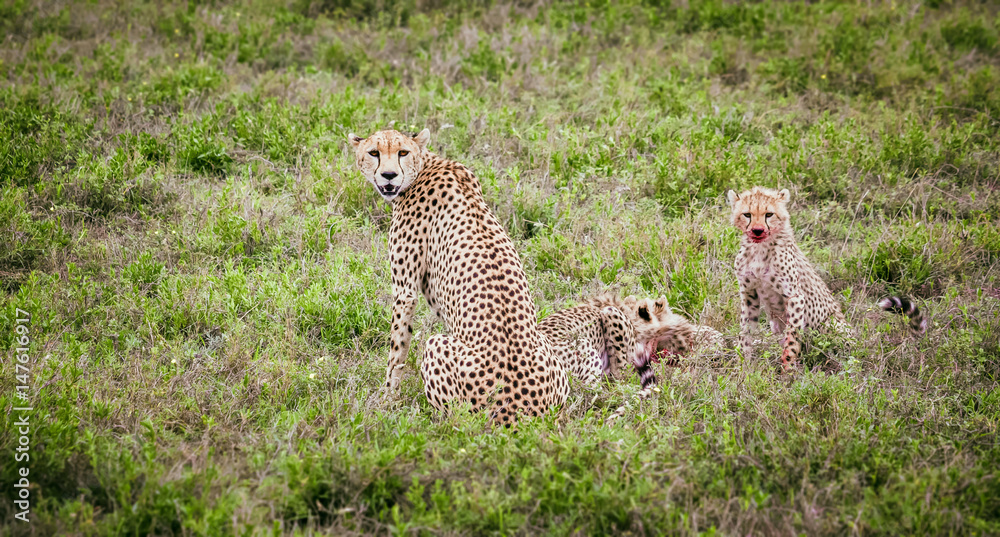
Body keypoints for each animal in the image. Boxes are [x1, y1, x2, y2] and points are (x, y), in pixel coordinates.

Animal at [348, 128, 569, 427]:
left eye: (402, 152)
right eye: (374, 153)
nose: (389, 175)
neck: (425, 165)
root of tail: (525, 414)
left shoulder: (404, 292)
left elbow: (397, 349)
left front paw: (386, 399)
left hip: (438, 349)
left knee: (457, 421)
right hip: (547, 349)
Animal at [726, 186, 926, 370]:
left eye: (769, 214)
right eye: (747, 214)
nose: (757, 230)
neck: (759, 249)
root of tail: (861, 343)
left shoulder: (795, 296)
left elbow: (792, 340)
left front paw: (787, 371)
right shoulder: (749, 295)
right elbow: (745, 334)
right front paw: (742, 366)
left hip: (833, 327)